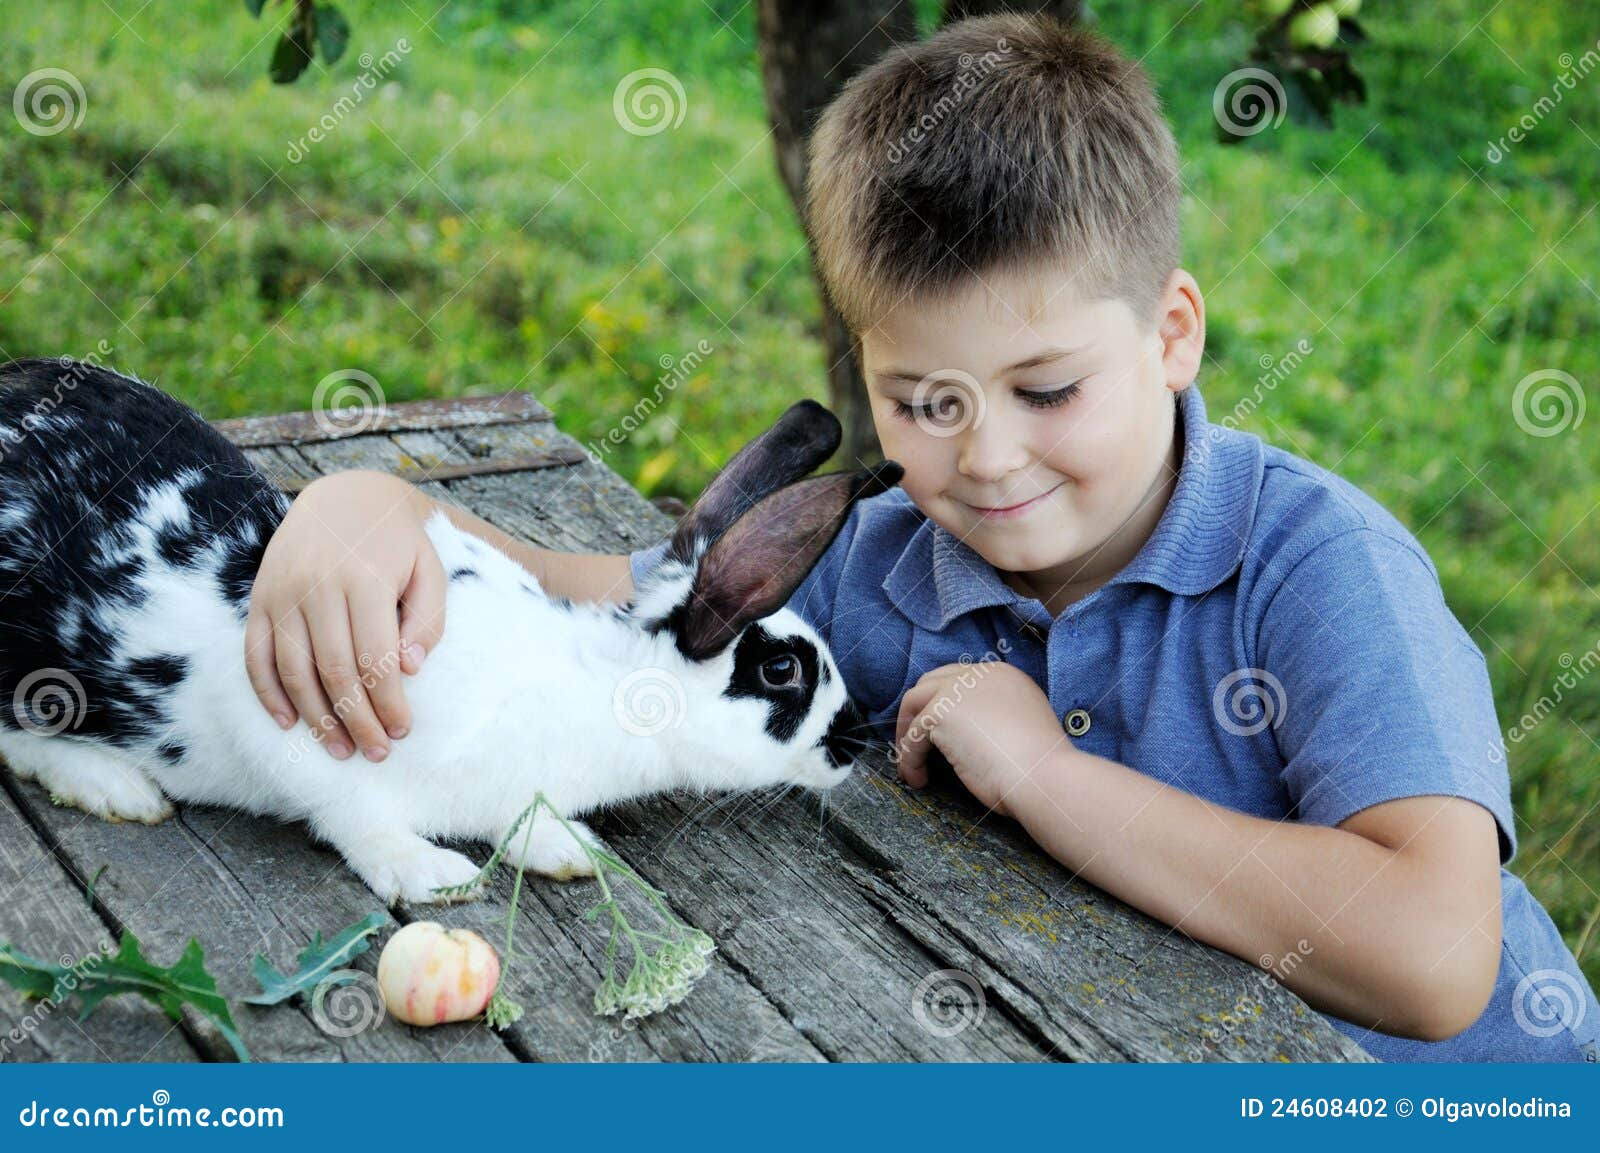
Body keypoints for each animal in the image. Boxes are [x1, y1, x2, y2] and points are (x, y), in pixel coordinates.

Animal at [0, 357, 900, 904]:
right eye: (782, 672)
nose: (857, 742)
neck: (598, 686)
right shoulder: (298, 719)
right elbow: (353, 815)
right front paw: (429, 873)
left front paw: (567, 849)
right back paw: (113, 787)